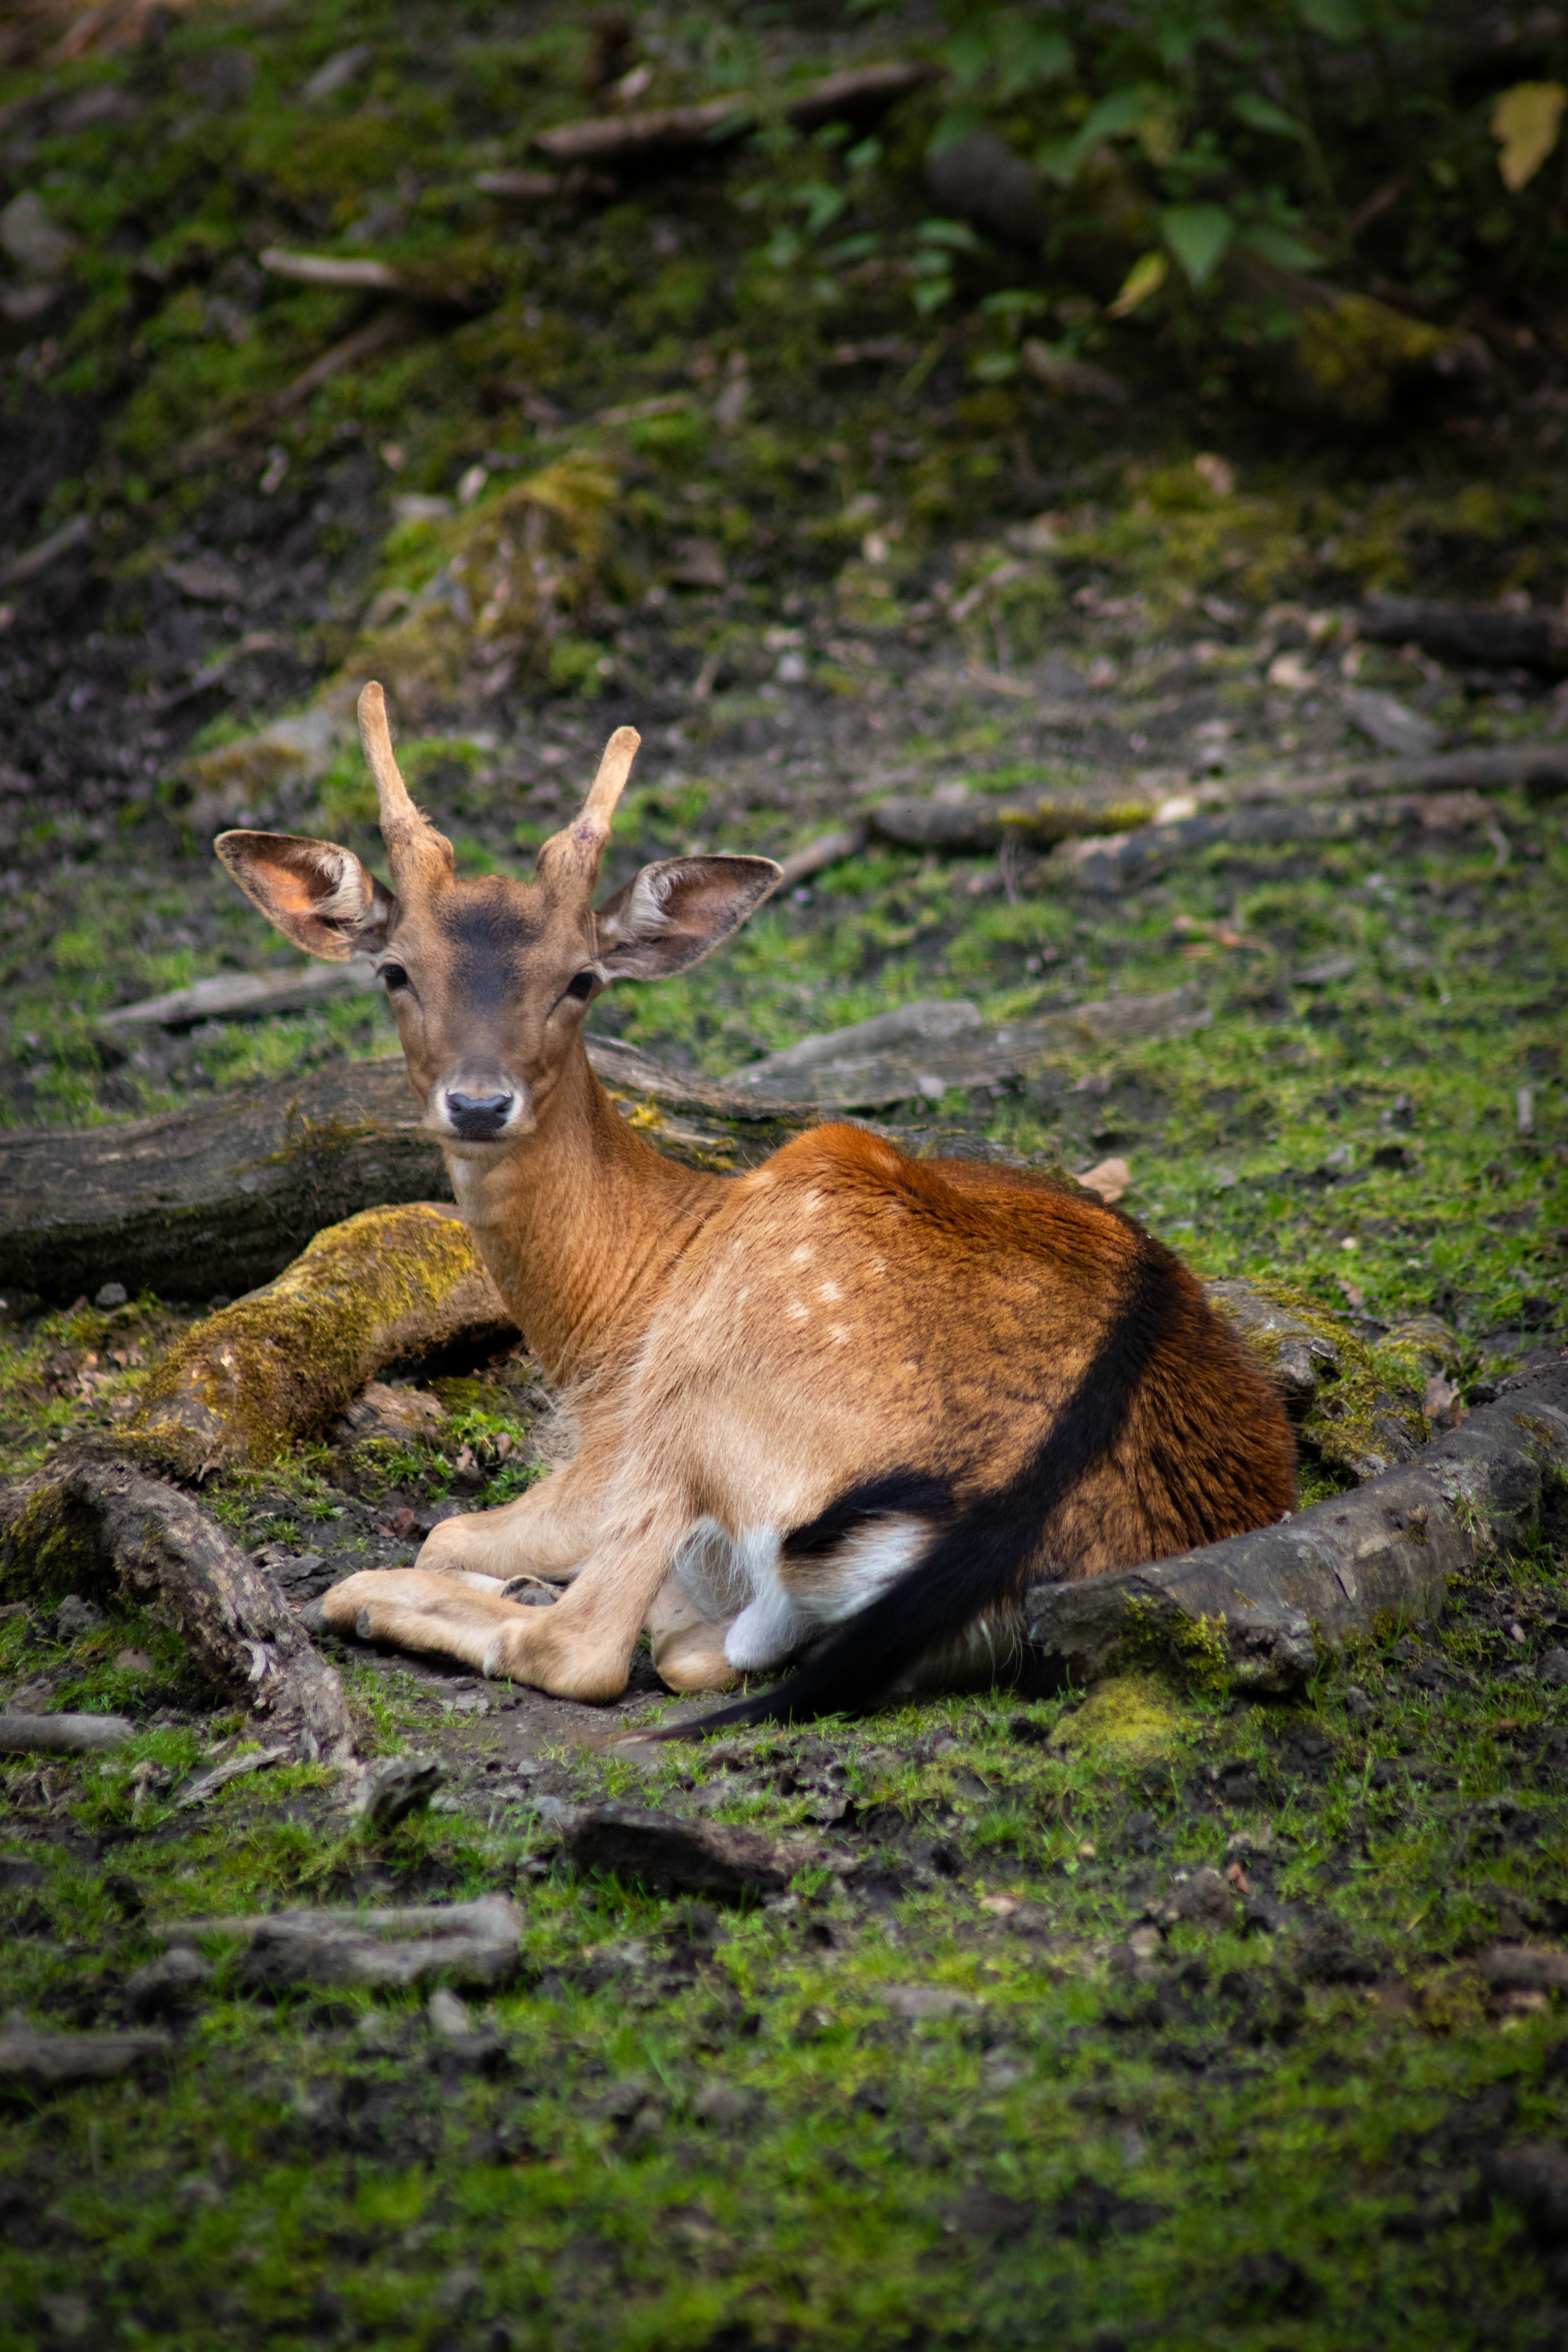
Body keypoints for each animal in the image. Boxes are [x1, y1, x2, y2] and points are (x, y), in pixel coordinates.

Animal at [214, 682, 1296, 1731]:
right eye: (395, 970)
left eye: (582, 978)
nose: (479, 1103)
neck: (603, 1321)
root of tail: (1002, 1527)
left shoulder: (607, 1452)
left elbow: (448, 1530)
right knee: (703, 1654)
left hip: (703, 1381)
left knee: (582, 1646)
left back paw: (405, 1596)